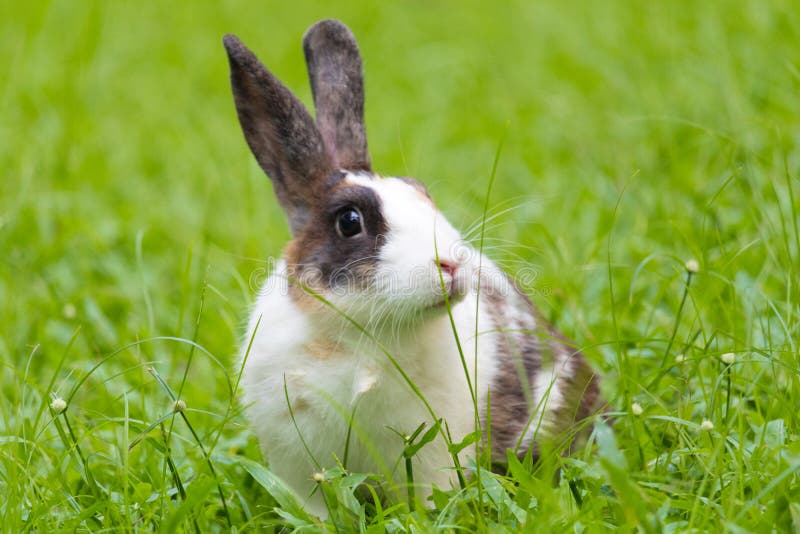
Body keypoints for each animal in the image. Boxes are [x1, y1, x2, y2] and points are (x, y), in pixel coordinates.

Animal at [223, 19, 602, 517]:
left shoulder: (432, 450)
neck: (357, 335)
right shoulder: (296, 460)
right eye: (350, 221)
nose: (451, 262)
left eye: (422, 192)